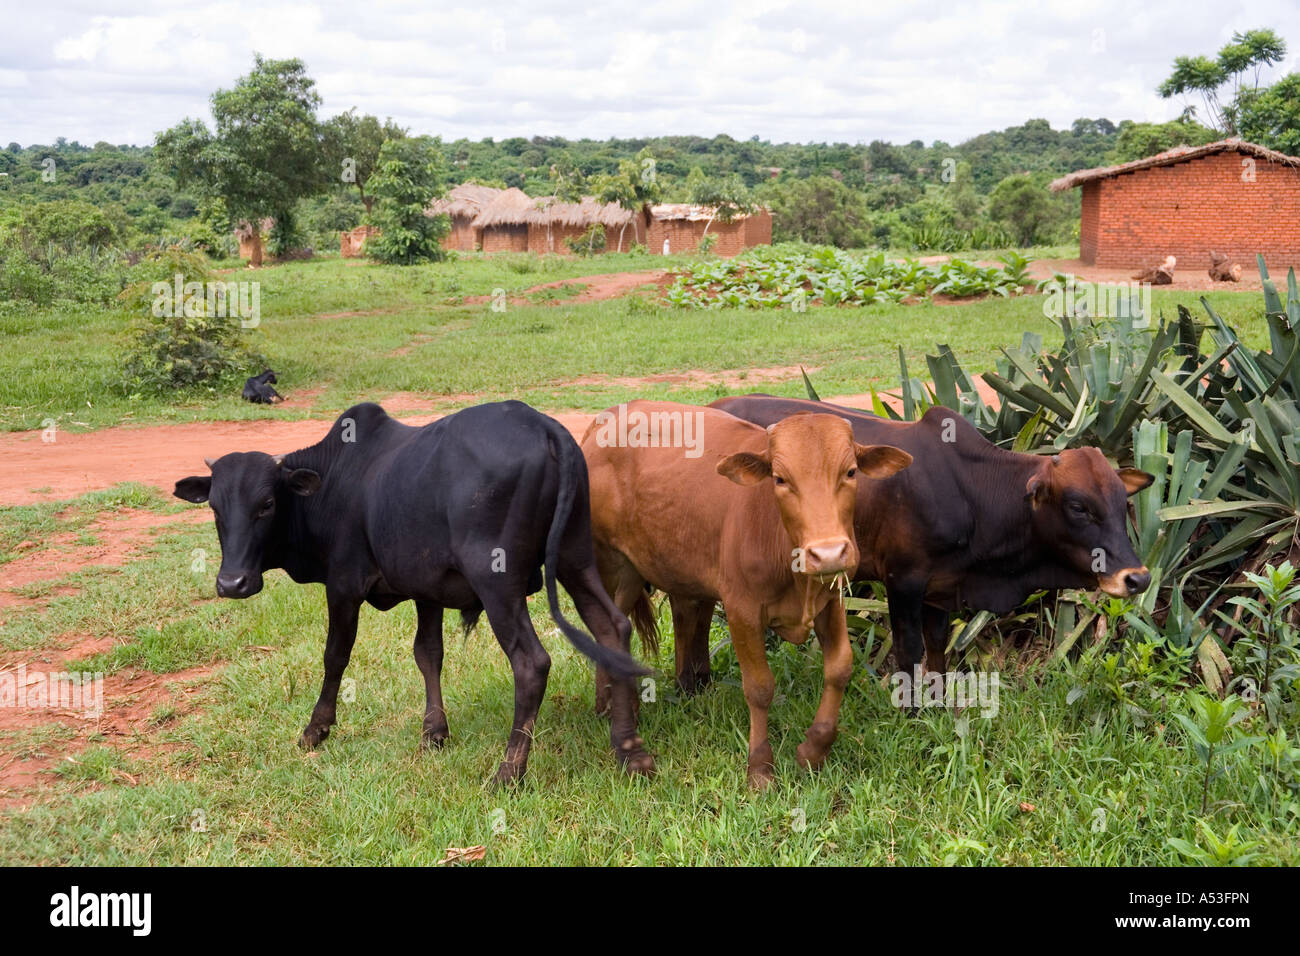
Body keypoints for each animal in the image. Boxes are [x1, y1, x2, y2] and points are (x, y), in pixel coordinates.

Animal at [173, 401, 651, 786]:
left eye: (267, 504)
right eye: (214, 507)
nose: (232, 583)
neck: (334, 483)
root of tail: (545, 427)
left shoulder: (343, 586)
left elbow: (335, 657)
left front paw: (316, 729)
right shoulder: (428, 591)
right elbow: (428, 654)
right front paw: (434, 732)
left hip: (498, 581)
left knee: (531, 663)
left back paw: (509, 771)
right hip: (575, 557)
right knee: (614, 629)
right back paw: (630, 752)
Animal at [581, 400, 911, 788]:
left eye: (850, 472)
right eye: (780, 479)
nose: (828, 553)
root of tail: (608, 417)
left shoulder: (831, 597)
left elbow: (840, 668)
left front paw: (814, 750)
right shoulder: (742, 610)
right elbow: (759, 687)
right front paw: (760, 767)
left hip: (636, 570)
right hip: (608, 563)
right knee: (607, 630)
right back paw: (614, 715)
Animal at [709, 395, 1154, 684]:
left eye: (1123, 503)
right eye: (1079, 507)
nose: (1138, 578)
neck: (971, 493)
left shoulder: (943, 586)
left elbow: (938, 645)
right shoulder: (903, 578)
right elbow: (909, 649)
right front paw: (911, 713)